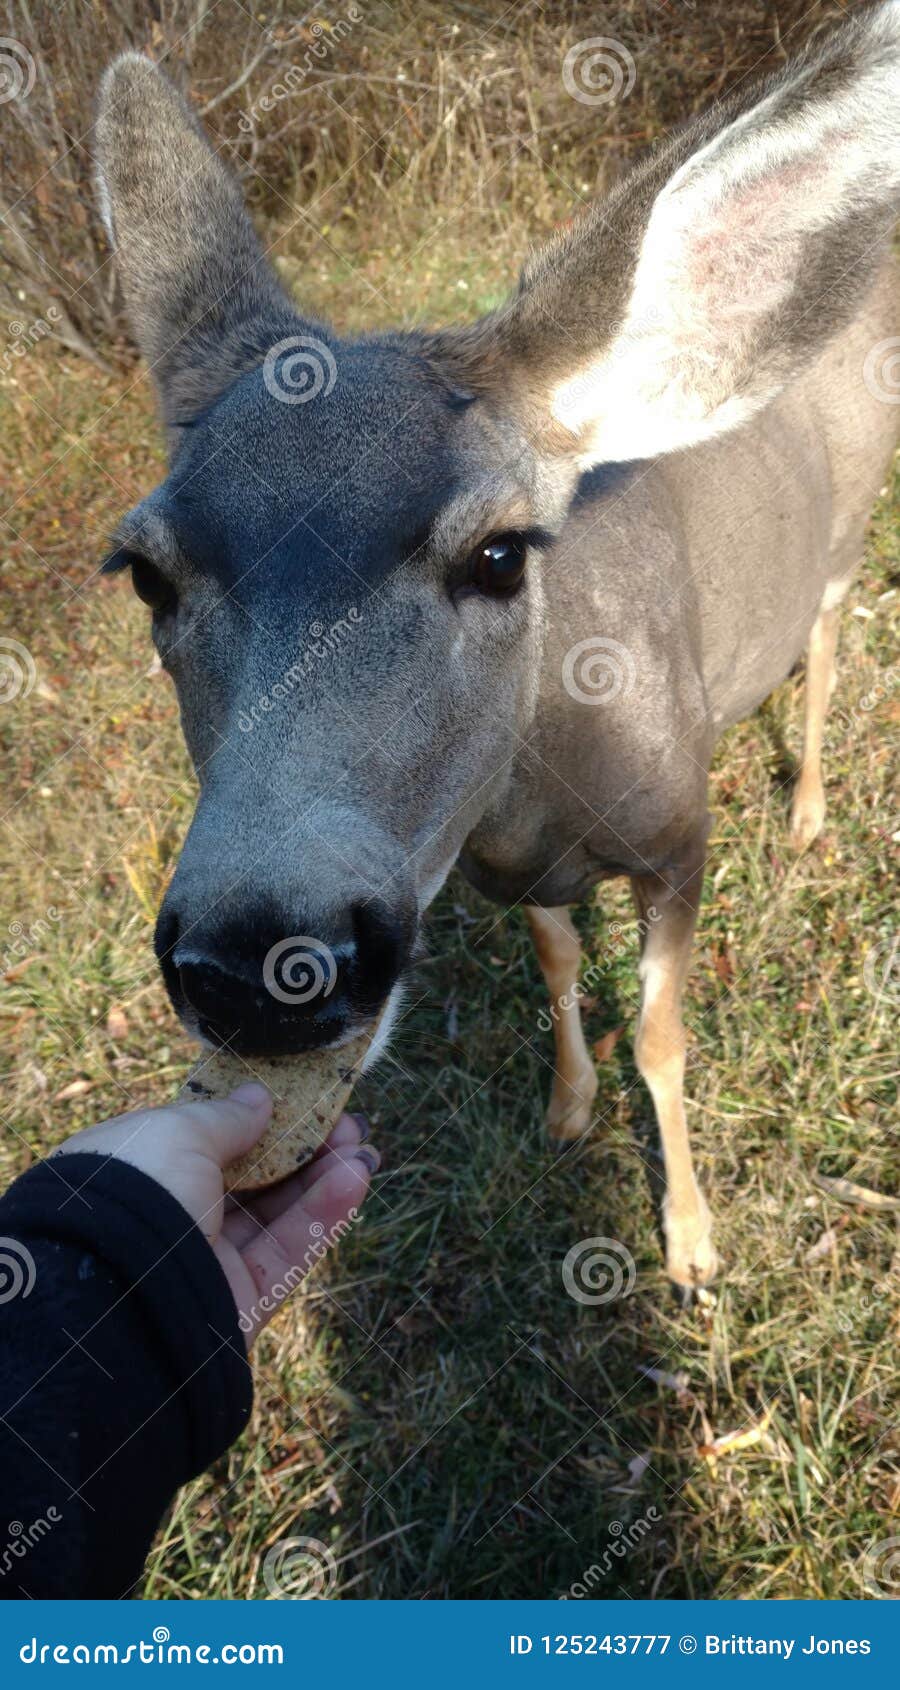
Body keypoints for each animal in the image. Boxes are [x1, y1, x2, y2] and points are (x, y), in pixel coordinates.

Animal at [94, 2, 900, 1293]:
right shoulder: (505, 871)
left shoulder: (679, 838)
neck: (555, 782)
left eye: (500, 553)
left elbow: (664, 1037)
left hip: (845, 533)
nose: (261, 963)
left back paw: (810, 811)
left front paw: (690, 1240)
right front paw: (568, 1109)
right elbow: (560, 968)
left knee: (826, 642)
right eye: (147, 573)